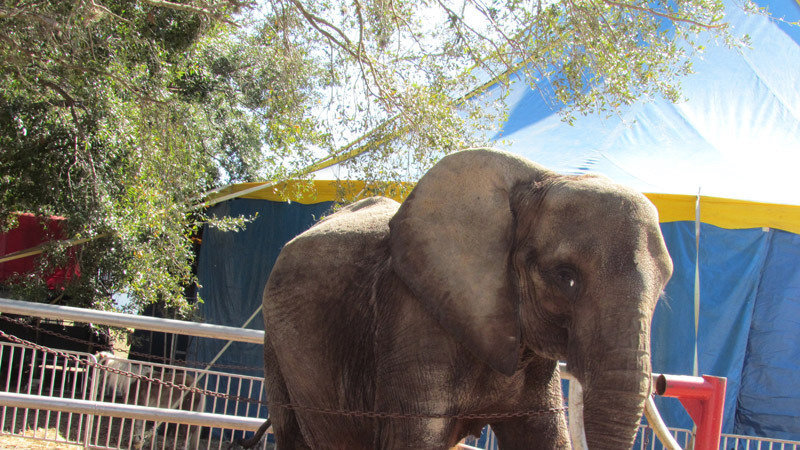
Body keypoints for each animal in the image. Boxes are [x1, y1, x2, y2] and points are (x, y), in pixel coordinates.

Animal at [260, 148, 673, 449]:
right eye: (565, 277)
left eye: (665, 287)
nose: (662, 382)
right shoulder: (413, 316)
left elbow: (544, 436)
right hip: (275, 344)